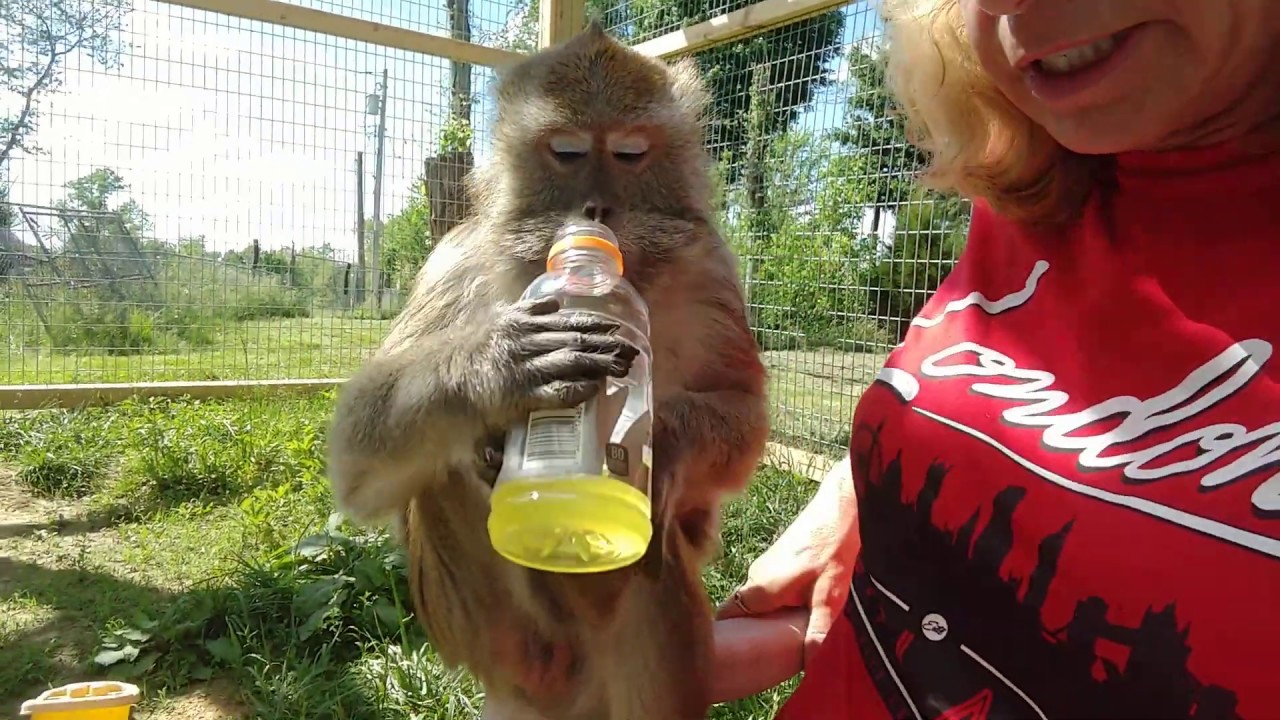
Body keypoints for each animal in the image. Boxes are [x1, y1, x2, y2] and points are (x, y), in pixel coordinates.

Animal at [326, 22, 770, 720]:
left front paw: (659, 438)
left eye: (629, 154)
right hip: (496, 644)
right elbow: (358, 455)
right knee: (436, 475)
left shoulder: (712, 270)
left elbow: (742, 415)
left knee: (656, 565)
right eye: (565, 151)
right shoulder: (456, 261)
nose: (595, 209)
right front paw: (499, 366)